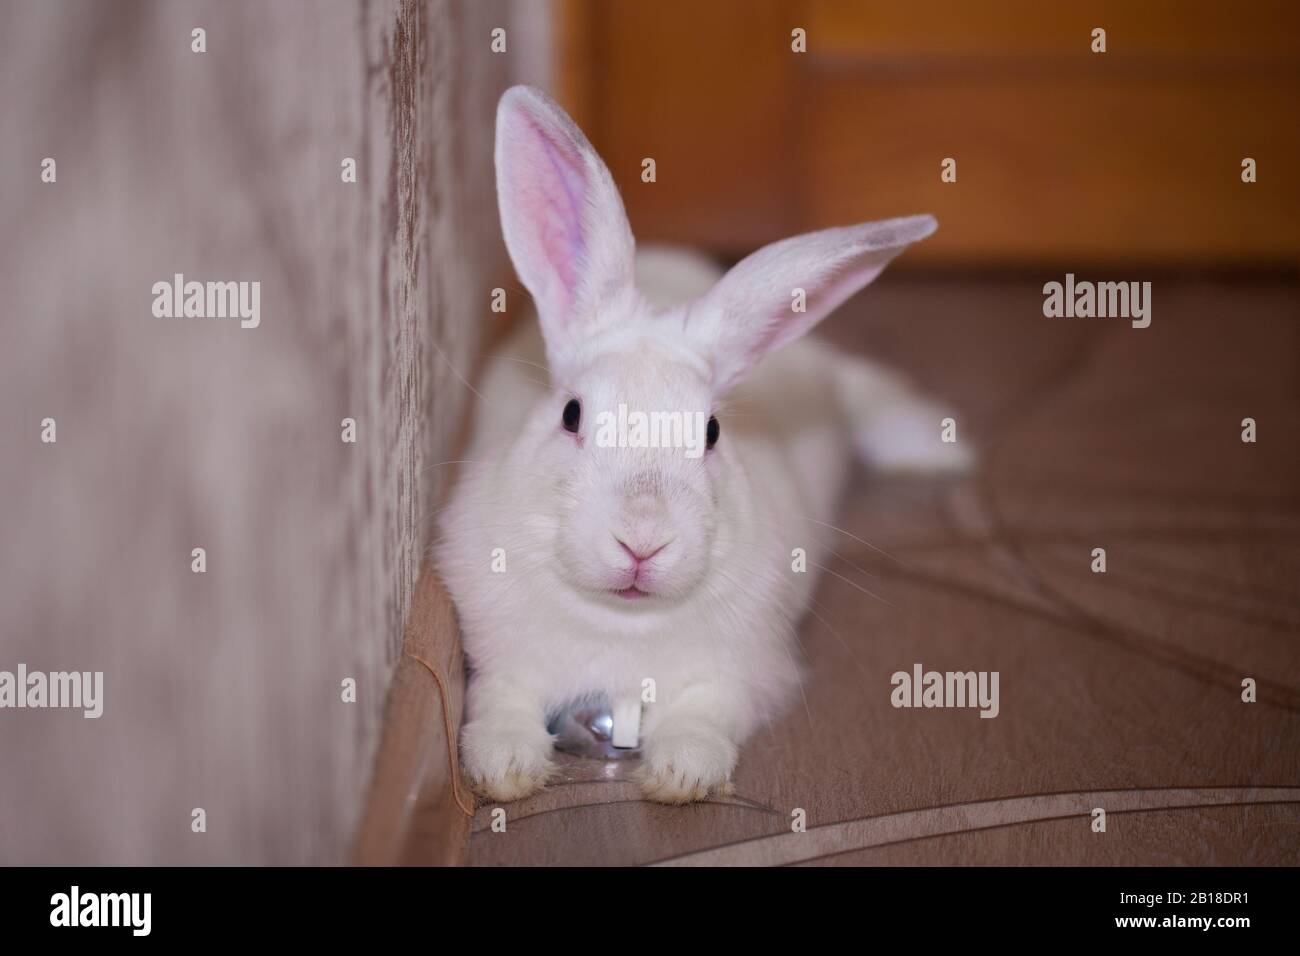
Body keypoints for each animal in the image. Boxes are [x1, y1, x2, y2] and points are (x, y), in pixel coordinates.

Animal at [437, 85, 970, 805]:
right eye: (572, 415)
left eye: (712, 432)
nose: (641, 542)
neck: (623, 622)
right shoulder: (496, 660)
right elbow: (499, 704)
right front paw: (505, 770)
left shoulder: (746, 673)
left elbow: (706, 714)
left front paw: (681, 775)